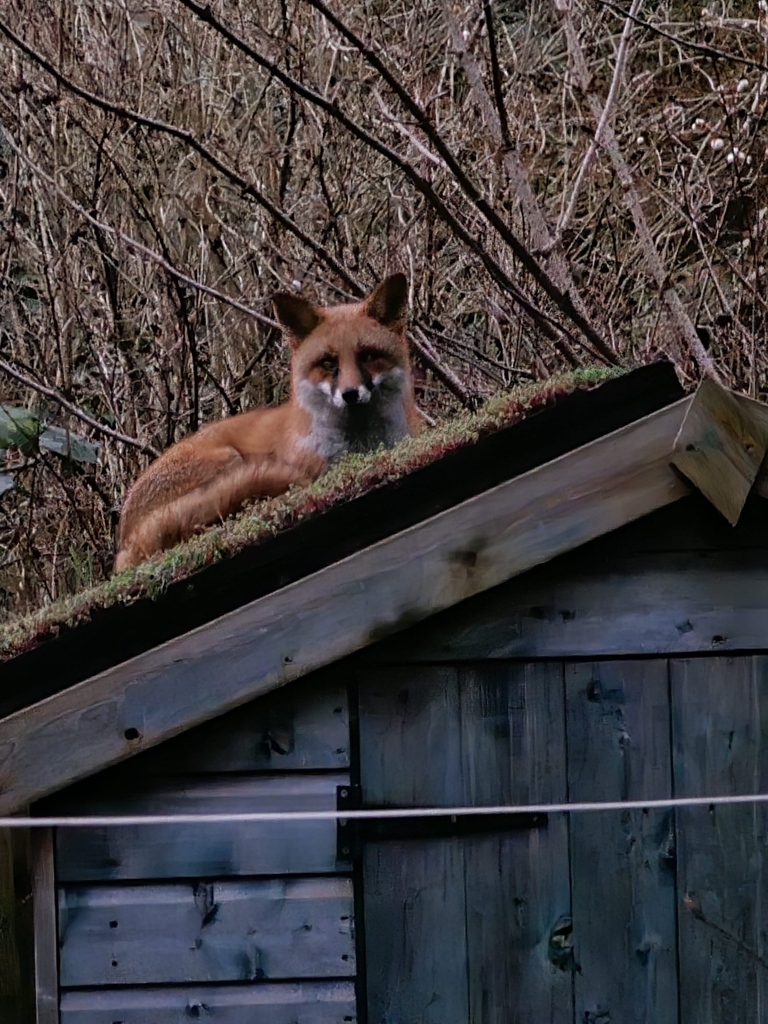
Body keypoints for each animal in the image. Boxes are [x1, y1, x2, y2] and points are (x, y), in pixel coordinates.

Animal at [114, 273, 421, 571]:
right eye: (328, 363)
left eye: (367, 356)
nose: (350, 395)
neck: (362, 443)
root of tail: (123, 543)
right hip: (229, 459)